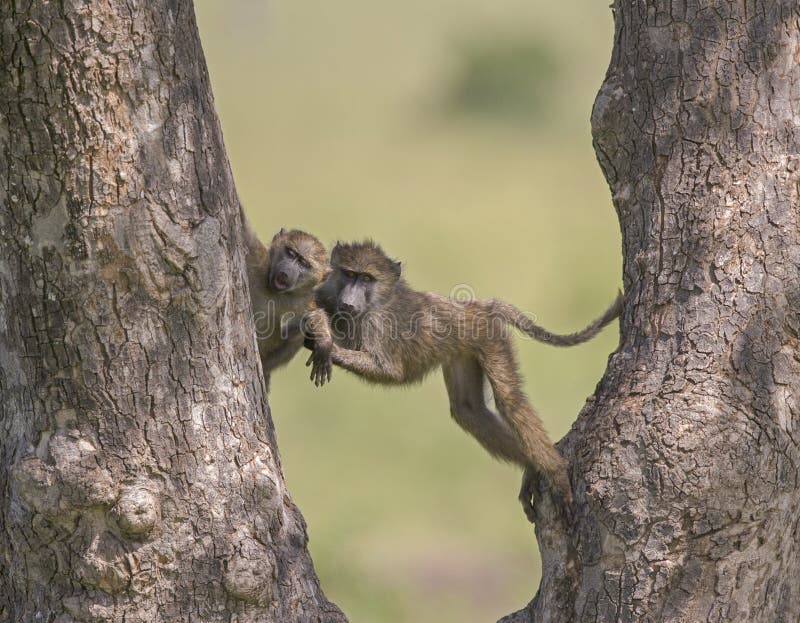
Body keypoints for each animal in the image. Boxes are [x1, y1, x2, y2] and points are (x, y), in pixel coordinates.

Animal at [242, 217, 334, 390]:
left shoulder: (302, 299)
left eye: (303, 263)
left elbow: (314, 313)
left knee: (300, 333)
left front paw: (325, 340)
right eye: (291, 253)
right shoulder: (257, 257)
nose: (287, 271)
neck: (274, 292)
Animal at [307, 240, 622, 522]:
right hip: (463, 352)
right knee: (468, 410)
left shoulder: (380, 325)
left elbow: (390, 371)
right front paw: (317, 330)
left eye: (366, 279)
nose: (349, 301)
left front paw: (326, 347)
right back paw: (531, 467)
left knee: (509, 400)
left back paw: (553, 471)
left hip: (489, 339)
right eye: (349, 274)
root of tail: (476, 306)